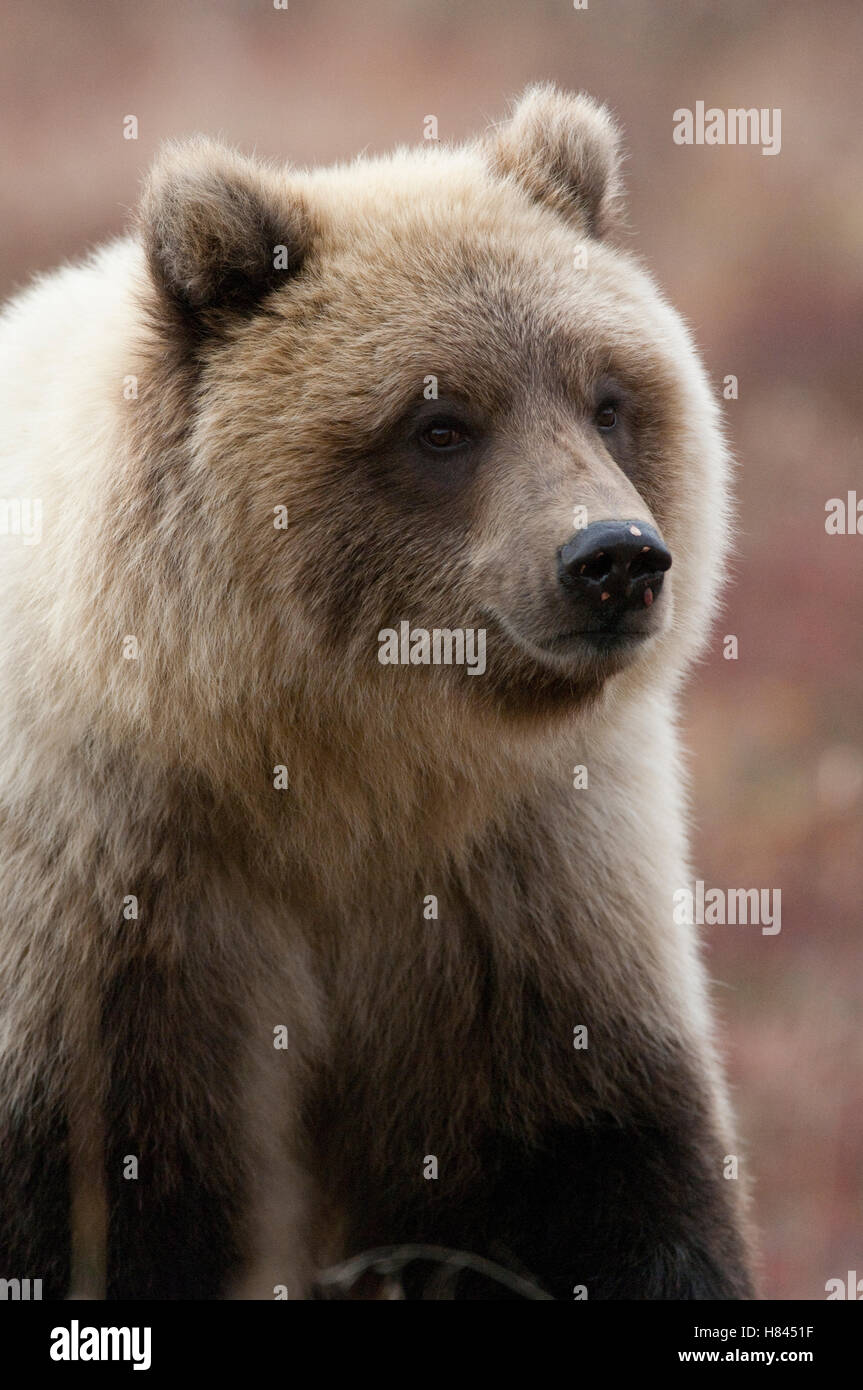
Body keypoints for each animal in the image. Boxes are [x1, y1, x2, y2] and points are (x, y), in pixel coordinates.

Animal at [0, 85, 755, 1300]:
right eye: (439, 423)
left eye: (606, 399)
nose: (613, 558)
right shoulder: (105, 899)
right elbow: (96, 1201)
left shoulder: (528, 895)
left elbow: (593, 1163)